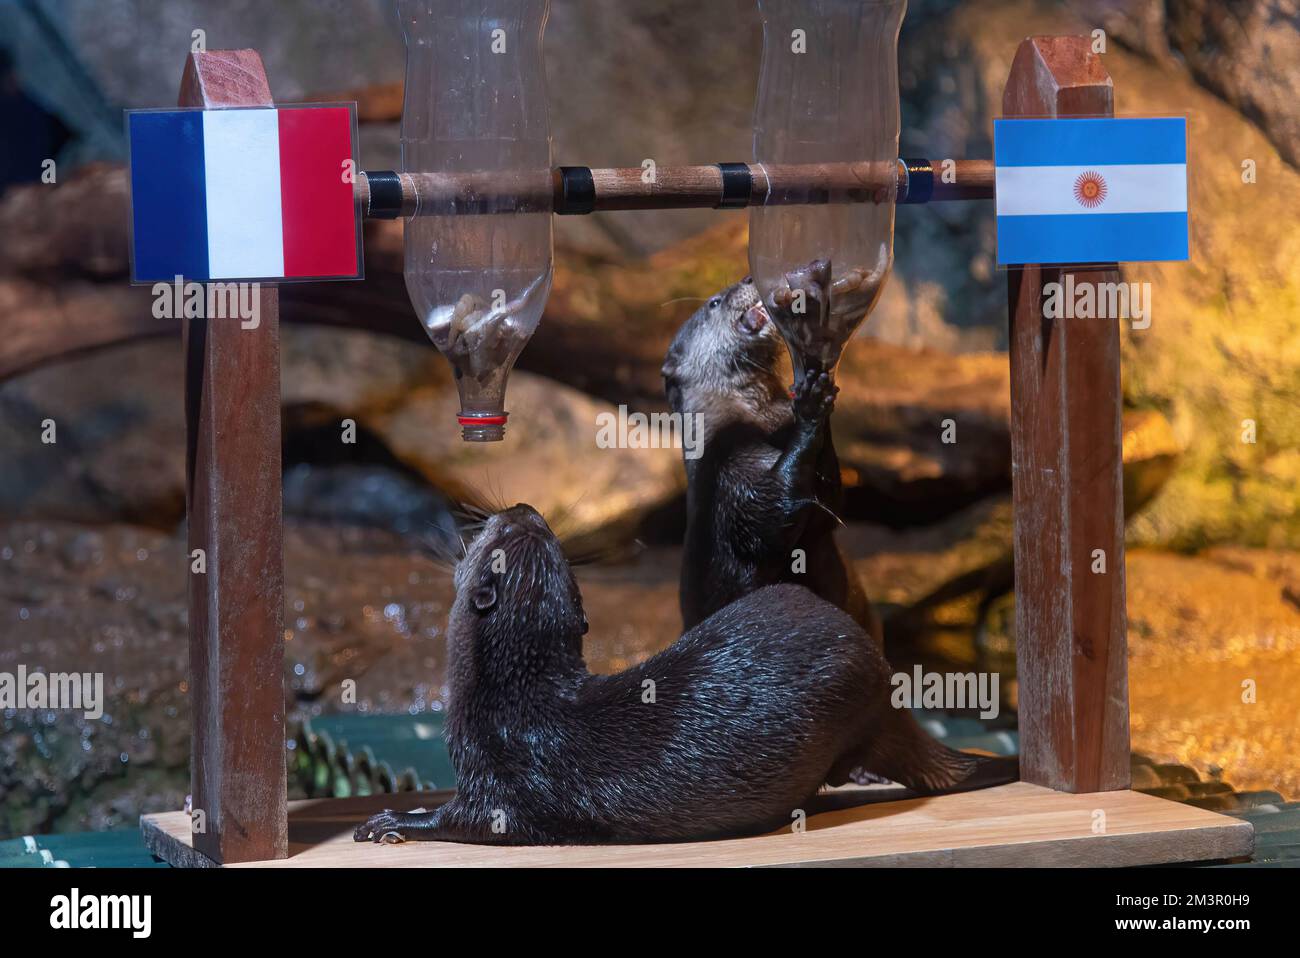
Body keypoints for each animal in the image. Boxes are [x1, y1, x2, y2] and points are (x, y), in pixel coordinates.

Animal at [354, 504, 1014, 846]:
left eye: (506, 526)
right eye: (537, 531)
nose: (524, 507)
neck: (512, 701)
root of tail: (881, 683)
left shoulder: (495, 781)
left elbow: (468, 821)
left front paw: (391, 822)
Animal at [662, 277, 881, 642]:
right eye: (714, 303)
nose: (749, 278)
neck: (751, 423)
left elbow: (827, 506)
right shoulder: (729, 473)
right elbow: (772, 519)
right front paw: (809, 408)